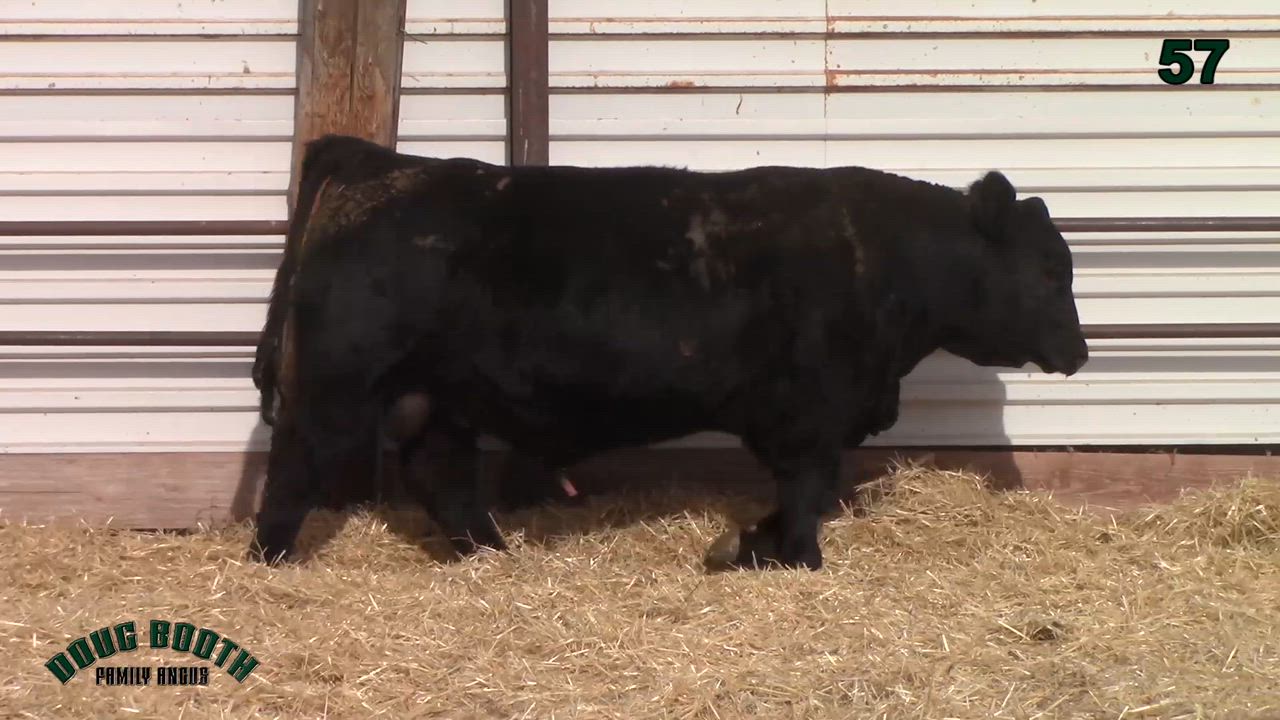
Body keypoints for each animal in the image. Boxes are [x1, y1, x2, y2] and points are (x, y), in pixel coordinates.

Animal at [249, 134, 1089, 572]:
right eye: (1052, 269)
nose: (1080, 350)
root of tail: (376, 160)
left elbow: (797, 494)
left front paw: (755, 543)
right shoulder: (811, 416)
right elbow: (807, 492)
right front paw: (788, 557)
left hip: (440, 396)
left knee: (442, 476)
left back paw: (491, 554)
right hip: (336, 390)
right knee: (293, 472)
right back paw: (273, 563)